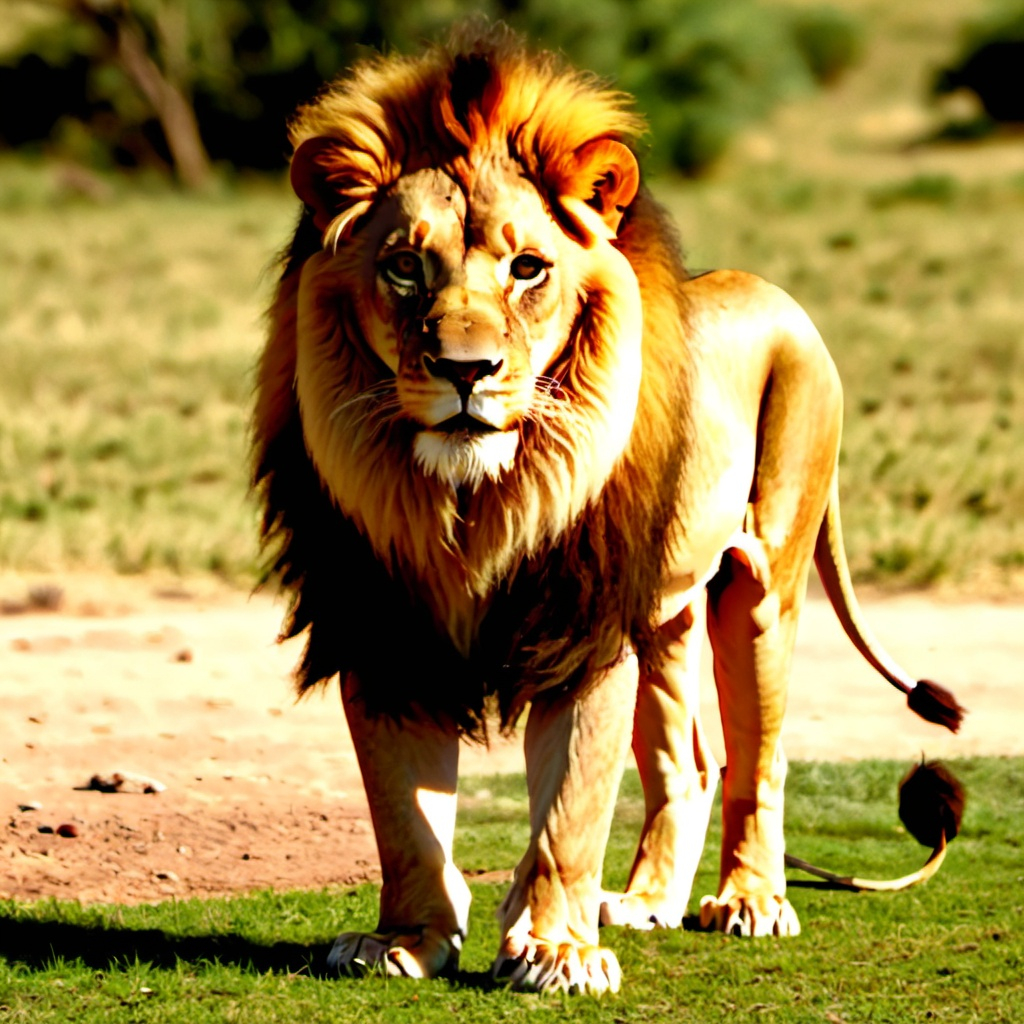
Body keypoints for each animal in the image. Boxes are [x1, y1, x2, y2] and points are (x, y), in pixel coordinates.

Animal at [253, 25, 963, 994]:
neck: (470, 498)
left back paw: (749, 901)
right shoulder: (381, 619)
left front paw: (556, 949)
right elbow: (402, 812)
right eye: (403, 268)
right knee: (687, 763)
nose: (467, 372)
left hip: (761, 582)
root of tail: (779, 297)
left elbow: (573, 802)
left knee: (759, 756)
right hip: (665, 611)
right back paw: (647, 900)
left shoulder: (583, 620)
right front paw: (405, 938)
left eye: (528, 269)